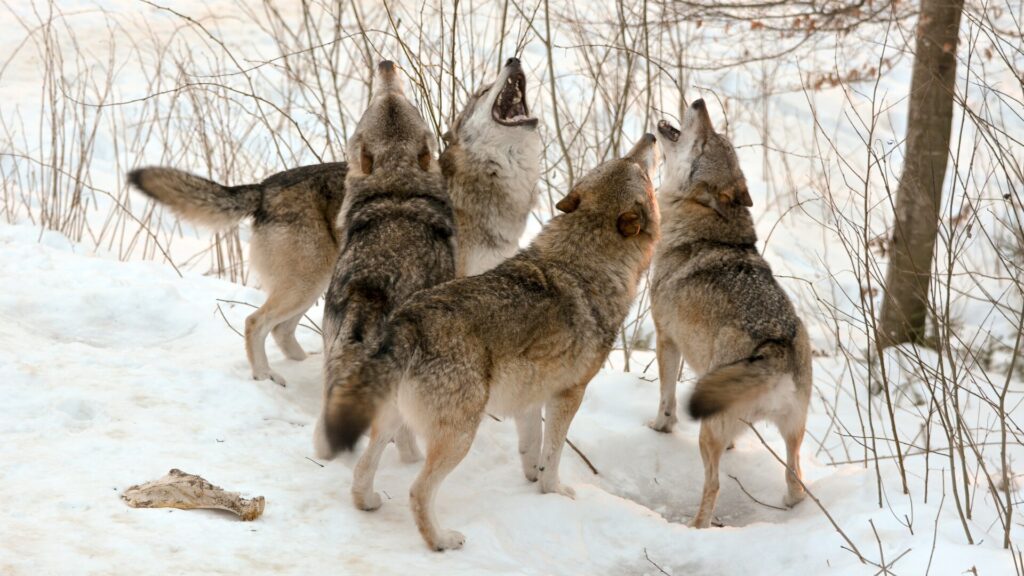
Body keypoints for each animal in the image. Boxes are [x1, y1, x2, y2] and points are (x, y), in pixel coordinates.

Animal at [128, 163, 347, 386]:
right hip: (306, 285)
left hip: (311, 287)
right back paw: (264, 374)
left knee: (280, 330)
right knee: (255, 322)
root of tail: (264, 187)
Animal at [315, 134, 659, 551]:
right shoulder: (568, 394)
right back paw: (442, 540)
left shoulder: (531, 393)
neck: (585, 255)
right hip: (461, 435)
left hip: (391, 421)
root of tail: (408, 322)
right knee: (418, 491)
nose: (652, 135)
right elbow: (554, 453)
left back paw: (368, 503)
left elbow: (532, 447)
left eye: (625, 158)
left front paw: (531, 480)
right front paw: (554, 491)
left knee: (364, 468)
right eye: (639, 168)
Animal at [649, 99, 812, 528]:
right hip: (793, 435)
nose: (700, 101)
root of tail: (774, 345)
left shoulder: (665, 338)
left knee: (714, 486)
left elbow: (666, 397)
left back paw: (695, 527)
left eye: (707, 142)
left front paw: (659, 428)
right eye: (717, 136)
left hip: (707, 432)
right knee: (796, 482)